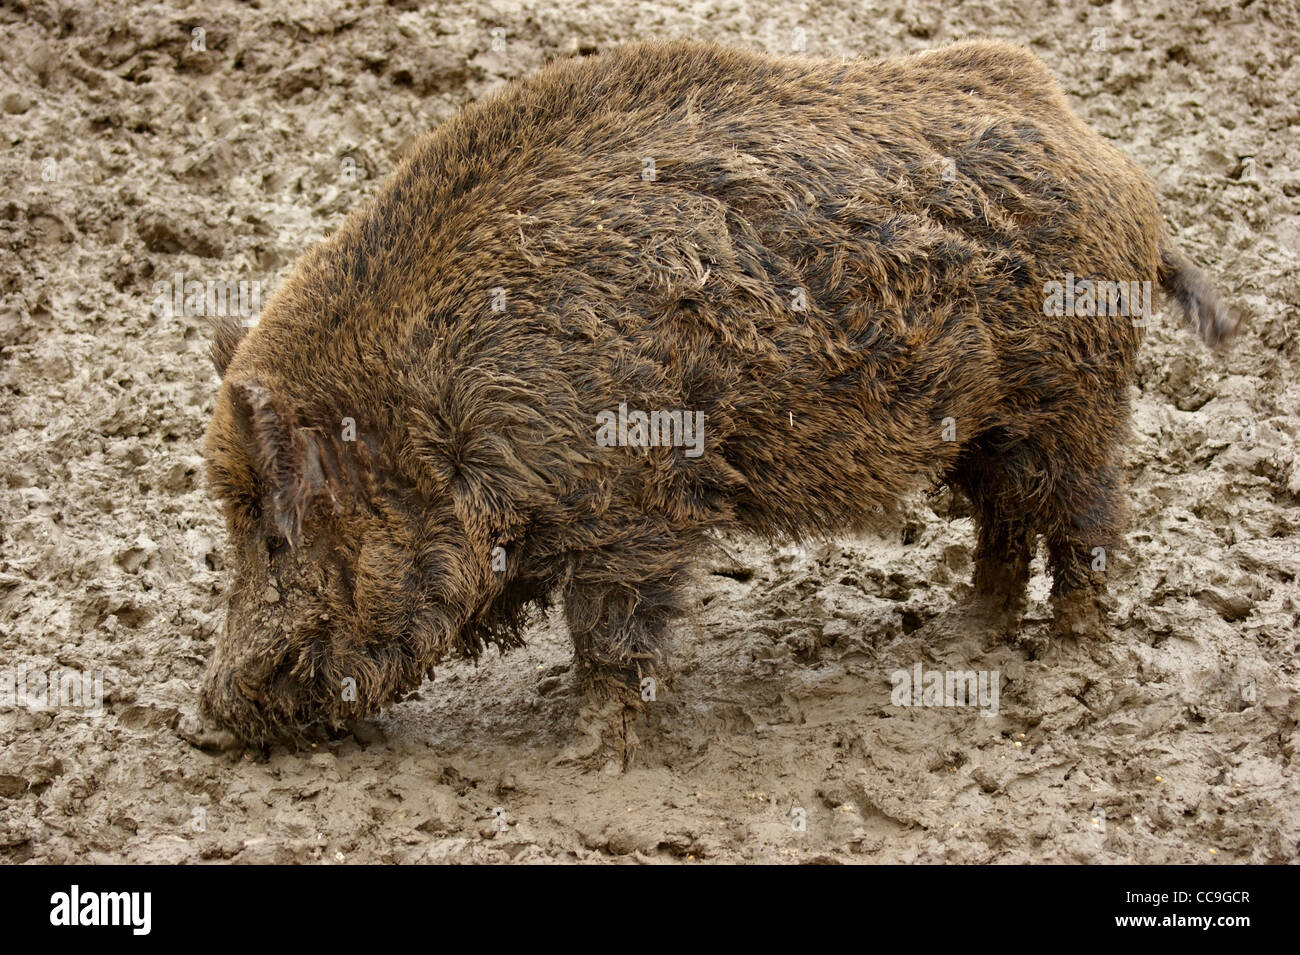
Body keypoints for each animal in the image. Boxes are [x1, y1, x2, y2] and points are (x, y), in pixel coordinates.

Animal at [195, 38, 1239, 765]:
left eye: (277, 532)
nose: (204, 717)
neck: (447, 406)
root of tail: (1116, 164)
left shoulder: (634, 509)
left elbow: (612, 636)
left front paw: (585, 763)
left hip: (1079, 404)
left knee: (1086, 518)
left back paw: (1071, 659)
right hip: (989, 427)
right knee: (1003, 521)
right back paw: (968, 633)